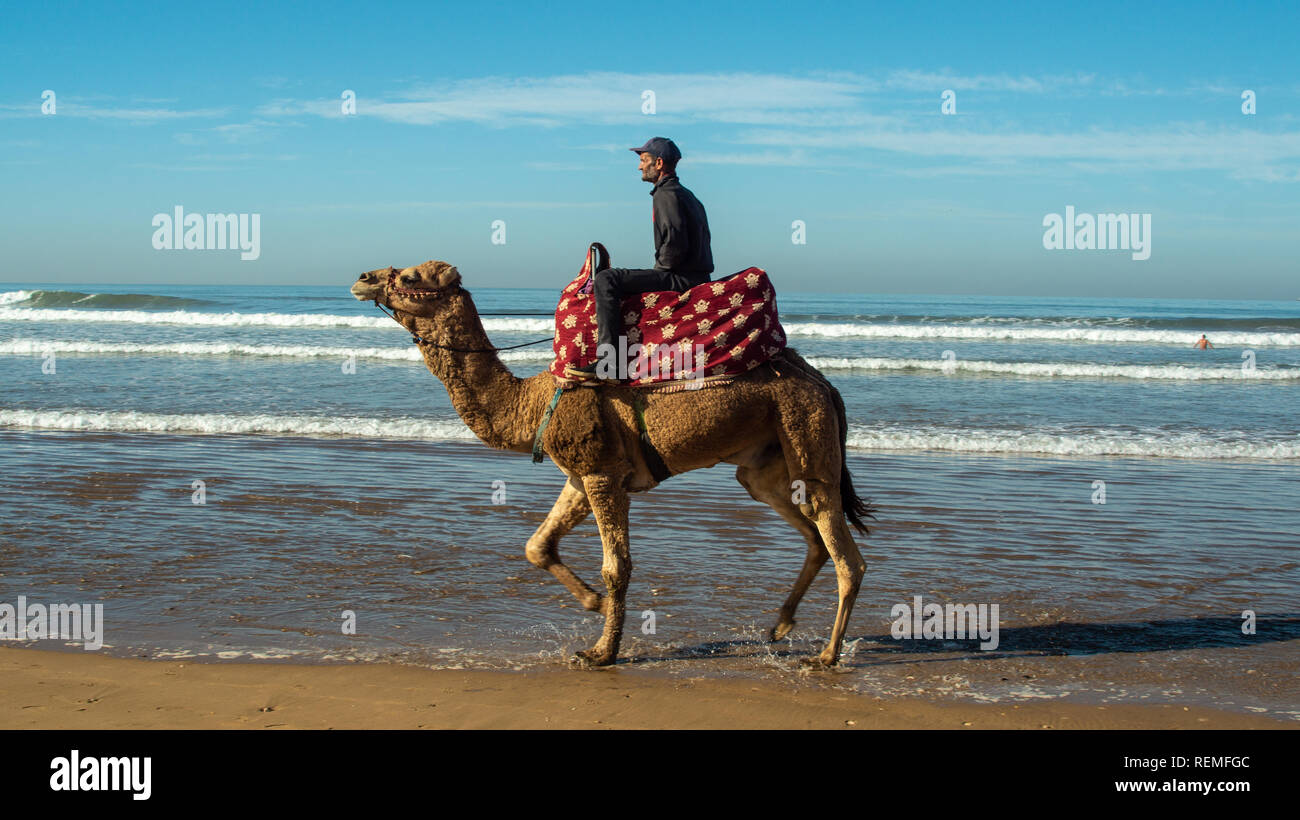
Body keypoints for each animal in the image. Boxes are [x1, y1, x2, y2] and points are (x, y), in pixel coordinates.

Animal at [350, 261, 875, 667]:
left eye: (410, 275)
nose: (362, 278)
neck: (530, 401)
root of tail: (822, 382)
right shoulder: (582, 474)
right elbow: (537, 546)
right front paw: (594, 604)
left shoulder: (602, 473)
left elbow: (616, 565)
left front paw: (602, 651)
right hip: (765, 465)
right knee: (812, 534)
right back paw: (780, 626)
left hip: (806, 434)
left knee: (847, 554)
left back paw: (826, 656)